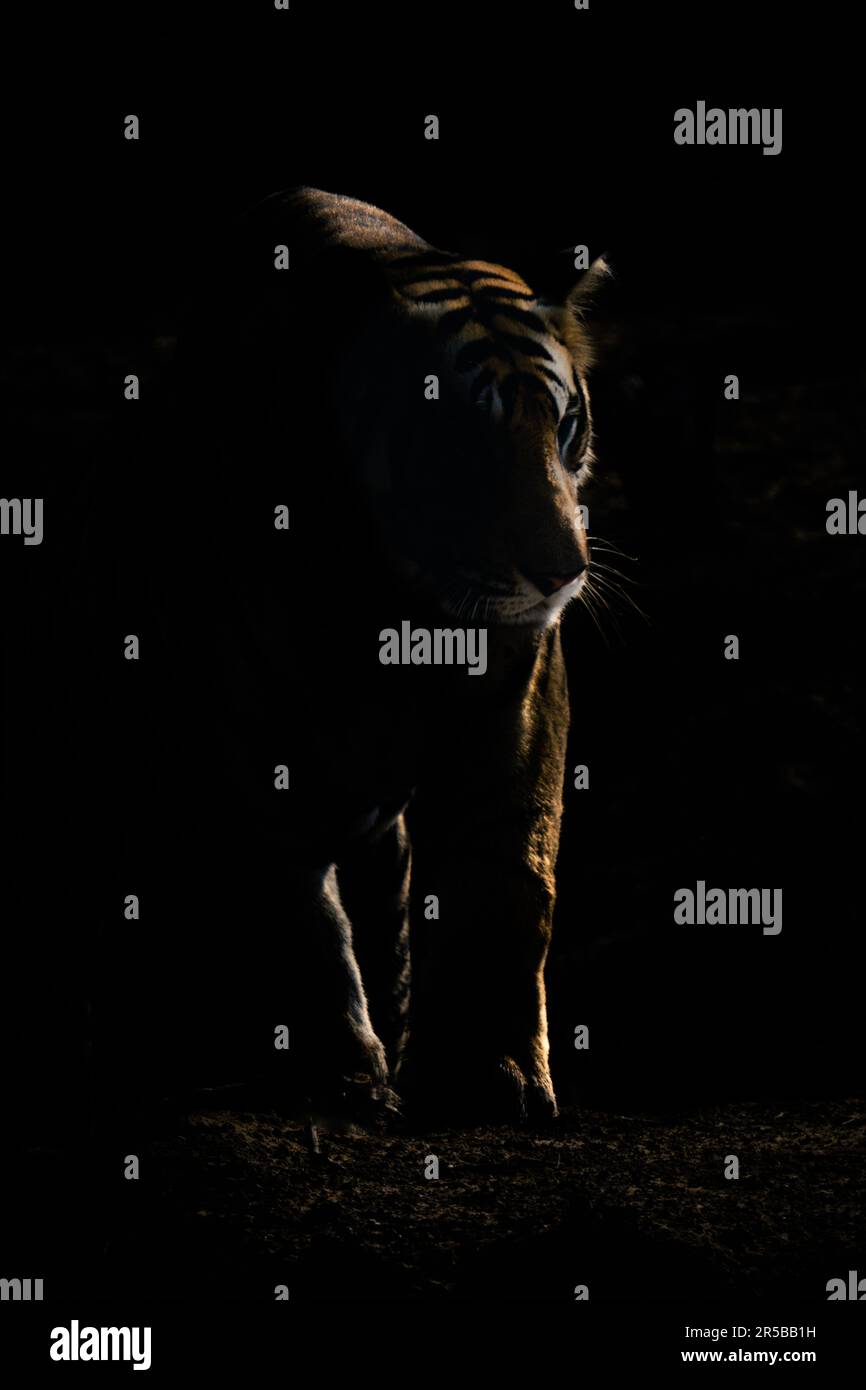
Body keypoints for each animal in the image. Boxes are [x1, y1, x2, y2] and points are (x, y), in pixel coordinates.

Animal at [142, 186, 608, 1124]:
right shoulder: (243, 723)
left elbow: (508, 873)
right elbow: (295, 905)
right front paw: (333, 1070)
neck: (384, 606)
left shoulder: (518, 688)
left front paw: (491, 1073)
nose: (563, 571)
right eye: (464, 438)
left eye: (566, 426)